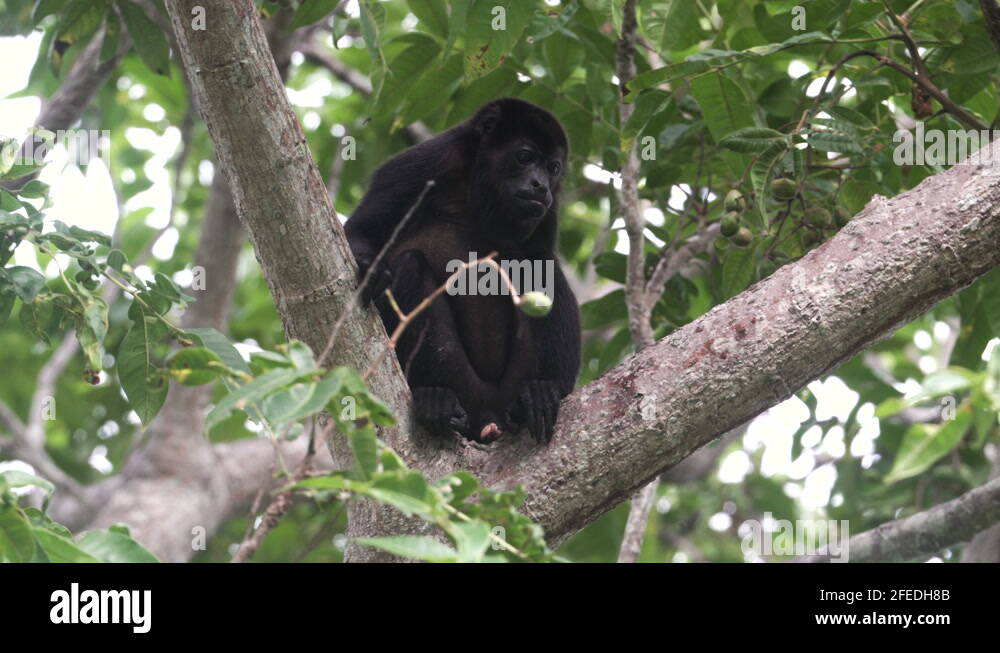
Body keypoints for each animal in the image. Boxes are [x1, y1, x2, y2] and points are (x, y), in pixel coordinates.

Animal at [345, 98, 580, 444]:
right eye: (525, 156)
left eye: (553, 168)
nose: (541, 186)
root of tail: (490, 415)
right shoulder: (422, 163)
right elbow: (362, 230)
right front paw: (366, 265)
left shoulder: (549, 210)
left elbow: (540, 261)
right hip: (463, 383)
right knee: (411, 266)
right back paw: (435, 399)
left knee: (543, 268)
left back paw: (540, 393)